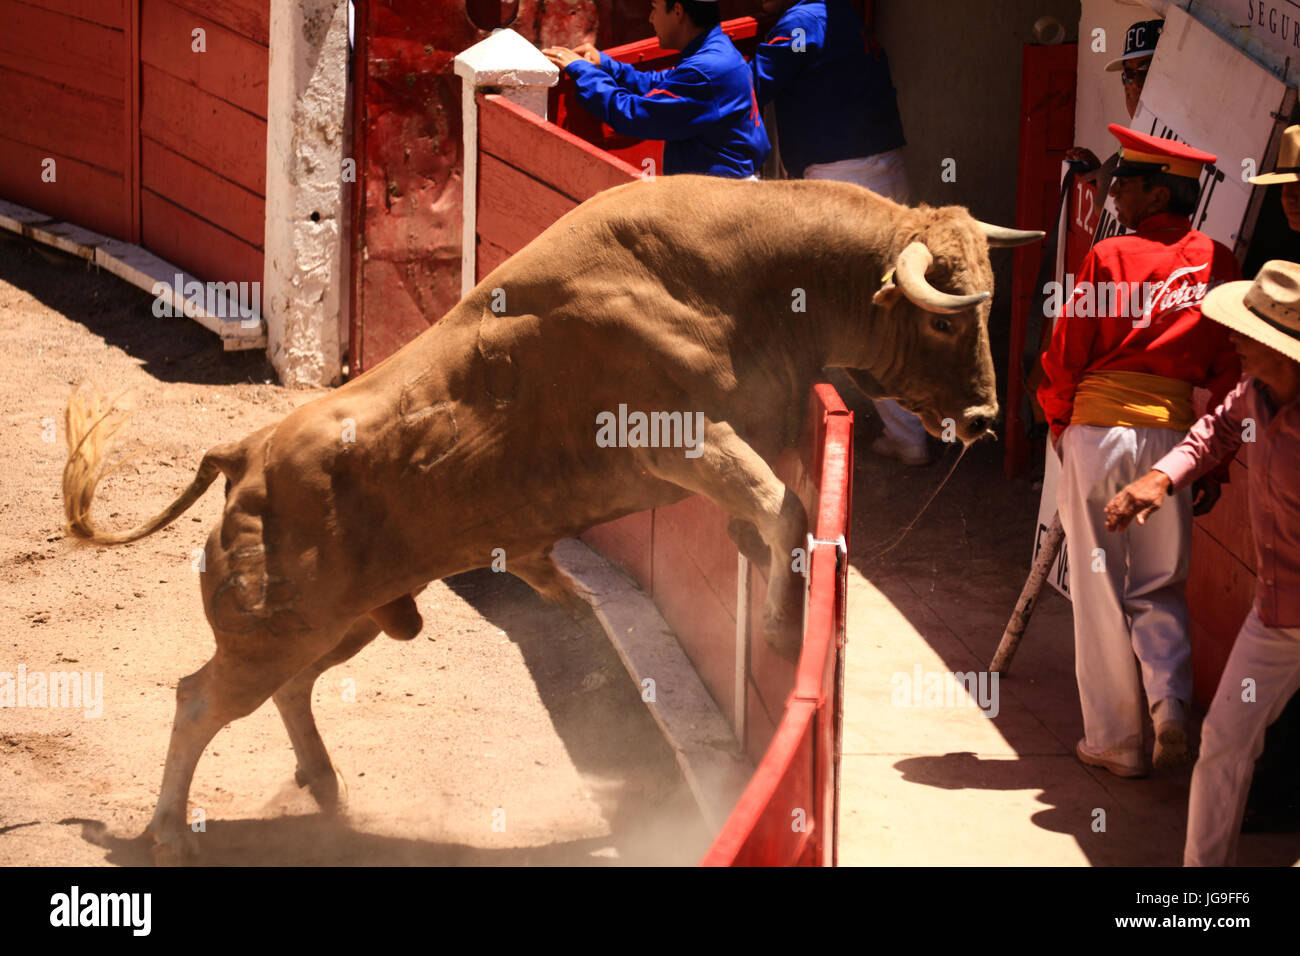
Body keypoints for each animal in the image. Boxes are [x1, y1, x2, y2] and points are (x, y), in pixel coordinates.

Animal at [61, 175, 1041, 863]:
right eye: (949, 320)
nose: (986, 421)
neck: (745, 276)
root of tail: (246, 452)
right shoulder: (684, 444)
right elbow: (785, 505)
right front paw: (778, 625)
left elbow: (767, 517)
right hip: (275, 629)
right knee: (199, 700)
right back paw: (172, 834)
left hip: (350, 621)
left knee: (292, 689)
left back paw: (326, 784)